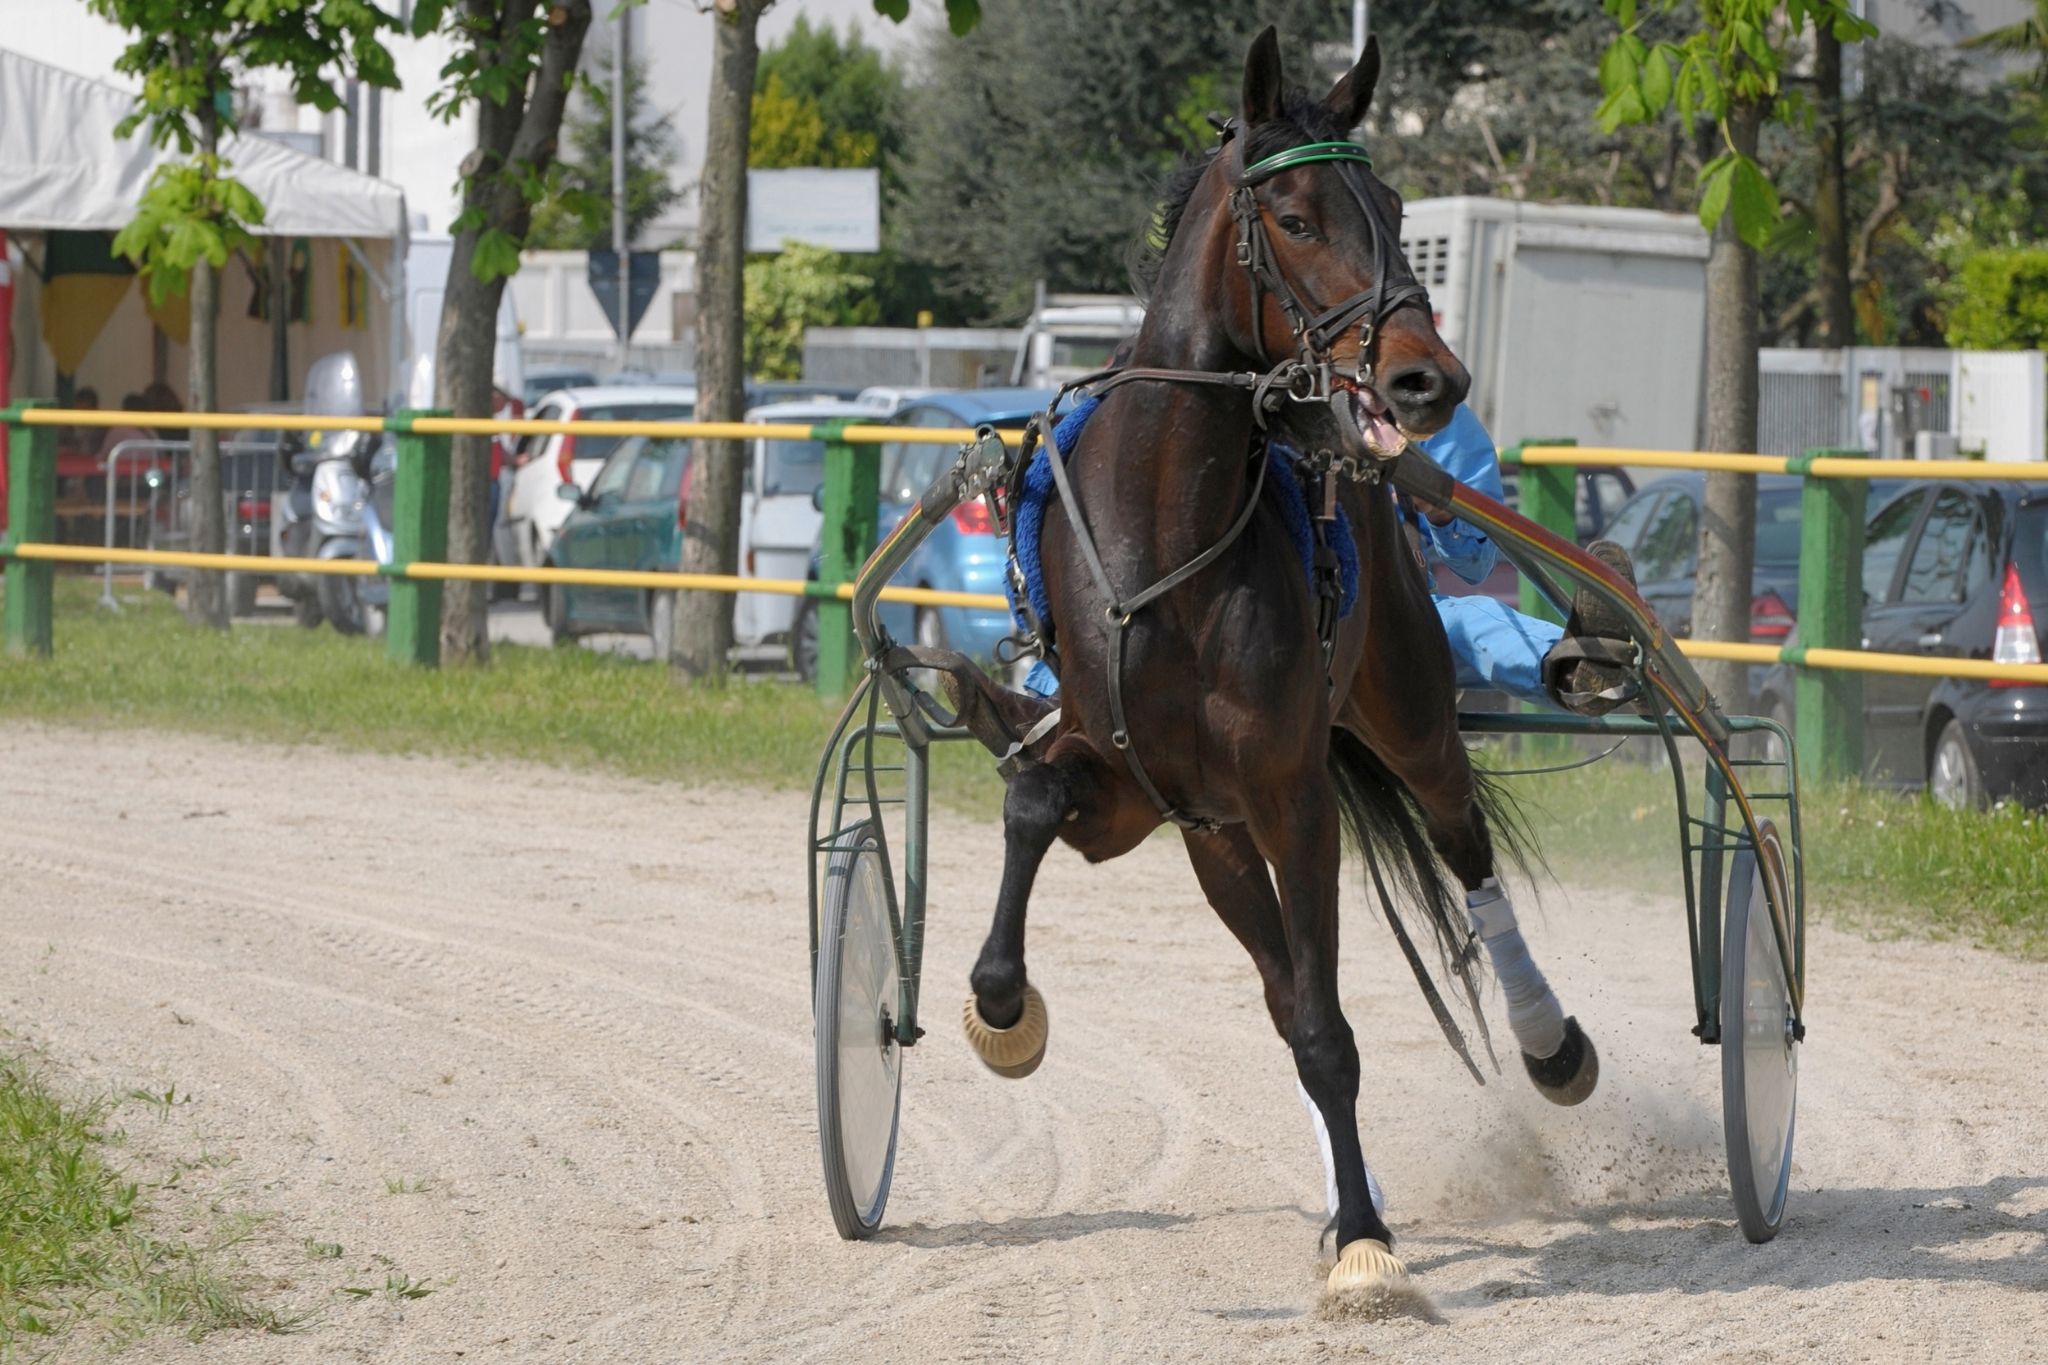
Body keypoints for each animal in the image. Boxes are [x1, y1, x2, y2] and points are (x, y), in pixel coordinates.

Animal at [950, 28, 1600, 1315]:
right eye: (1296, 217)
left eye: (1393, 209)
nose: (1426, 381)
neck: (1165, 523)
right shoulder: (1161, 790)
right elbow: (1035, 801)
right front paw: (1003, 1009)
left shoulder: (1290, 794)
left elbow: (1327, 1030)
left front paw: (1364, 1242)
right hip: (1213, 830)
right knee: (1275, 979)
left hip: (1406, 713)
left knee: (1459, 849)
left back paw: (1547, 1040)